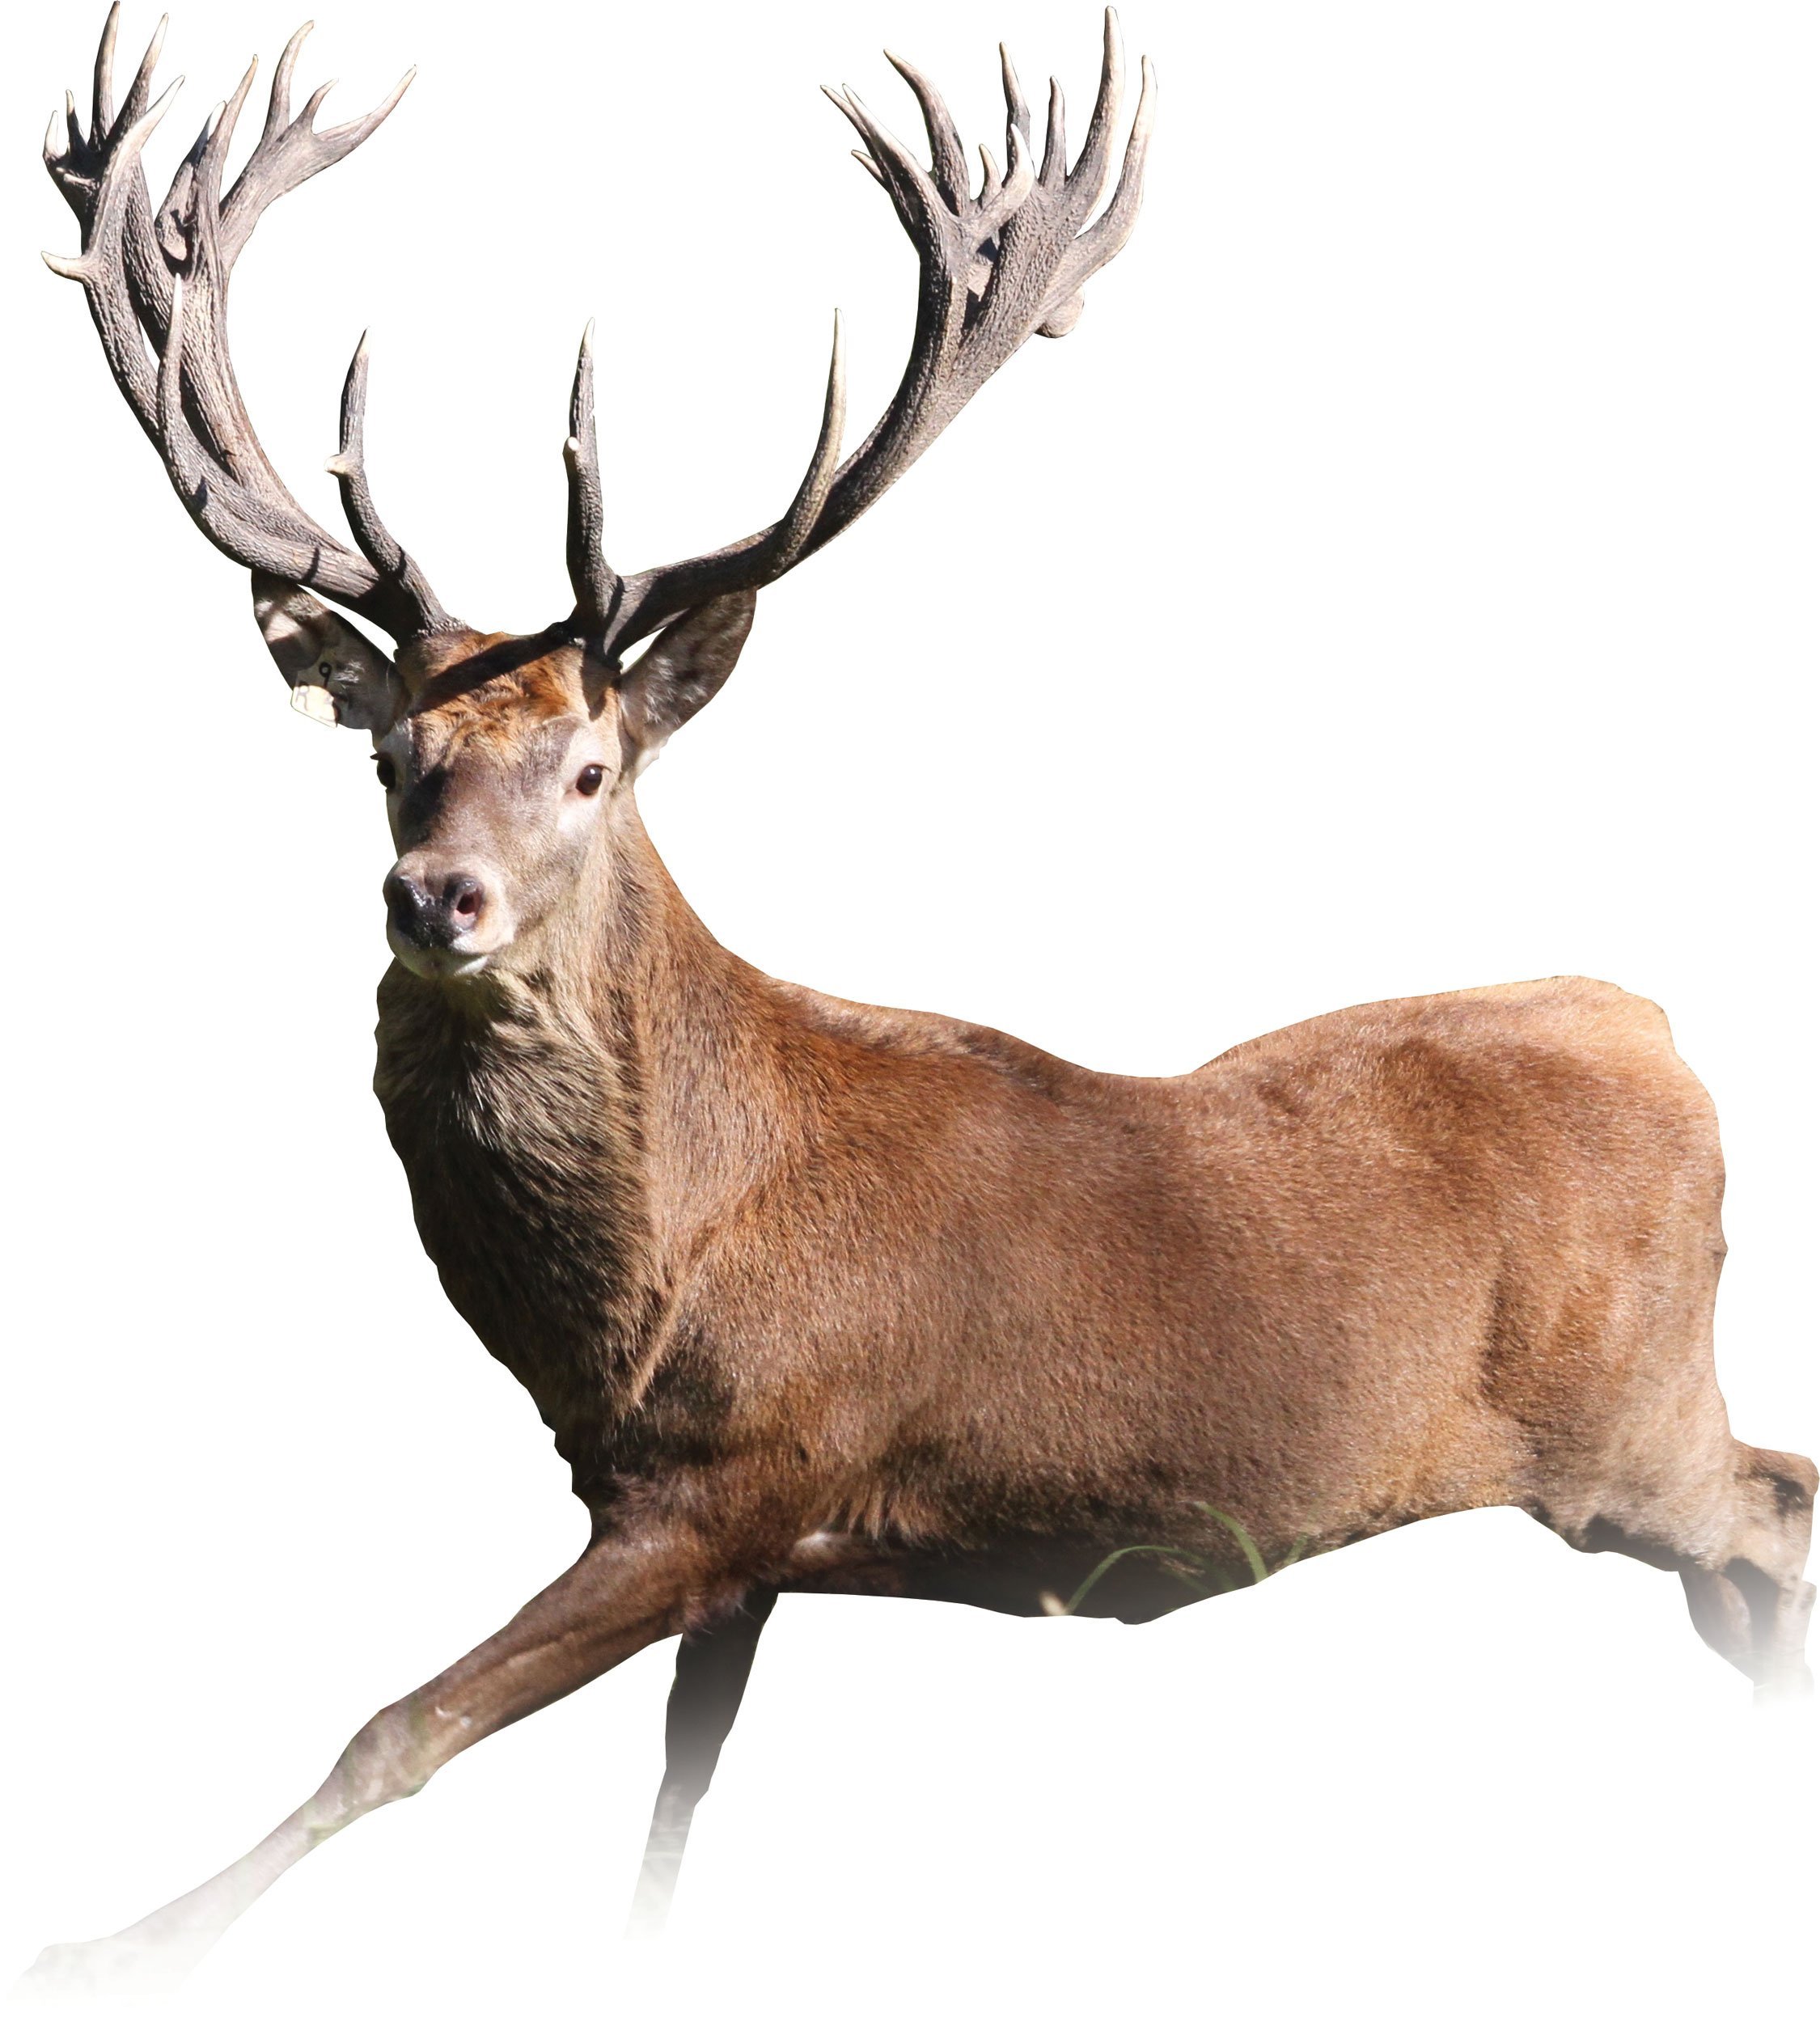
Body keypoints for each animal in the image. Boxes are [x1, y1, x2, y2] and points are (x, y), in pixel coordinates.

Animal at [25, 1, 1815, 1998]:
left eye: (591, 769)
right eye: (394, 758)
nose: (435, 897)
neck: (638, 1296)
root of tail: (1671, 1033)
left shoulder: (736, 1468)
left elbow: (388, 1732)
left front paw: (115, 1944)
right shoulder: (734, 1541)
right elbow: (676, 1794)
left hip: (1627, 1426)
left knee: (1780, 1511)